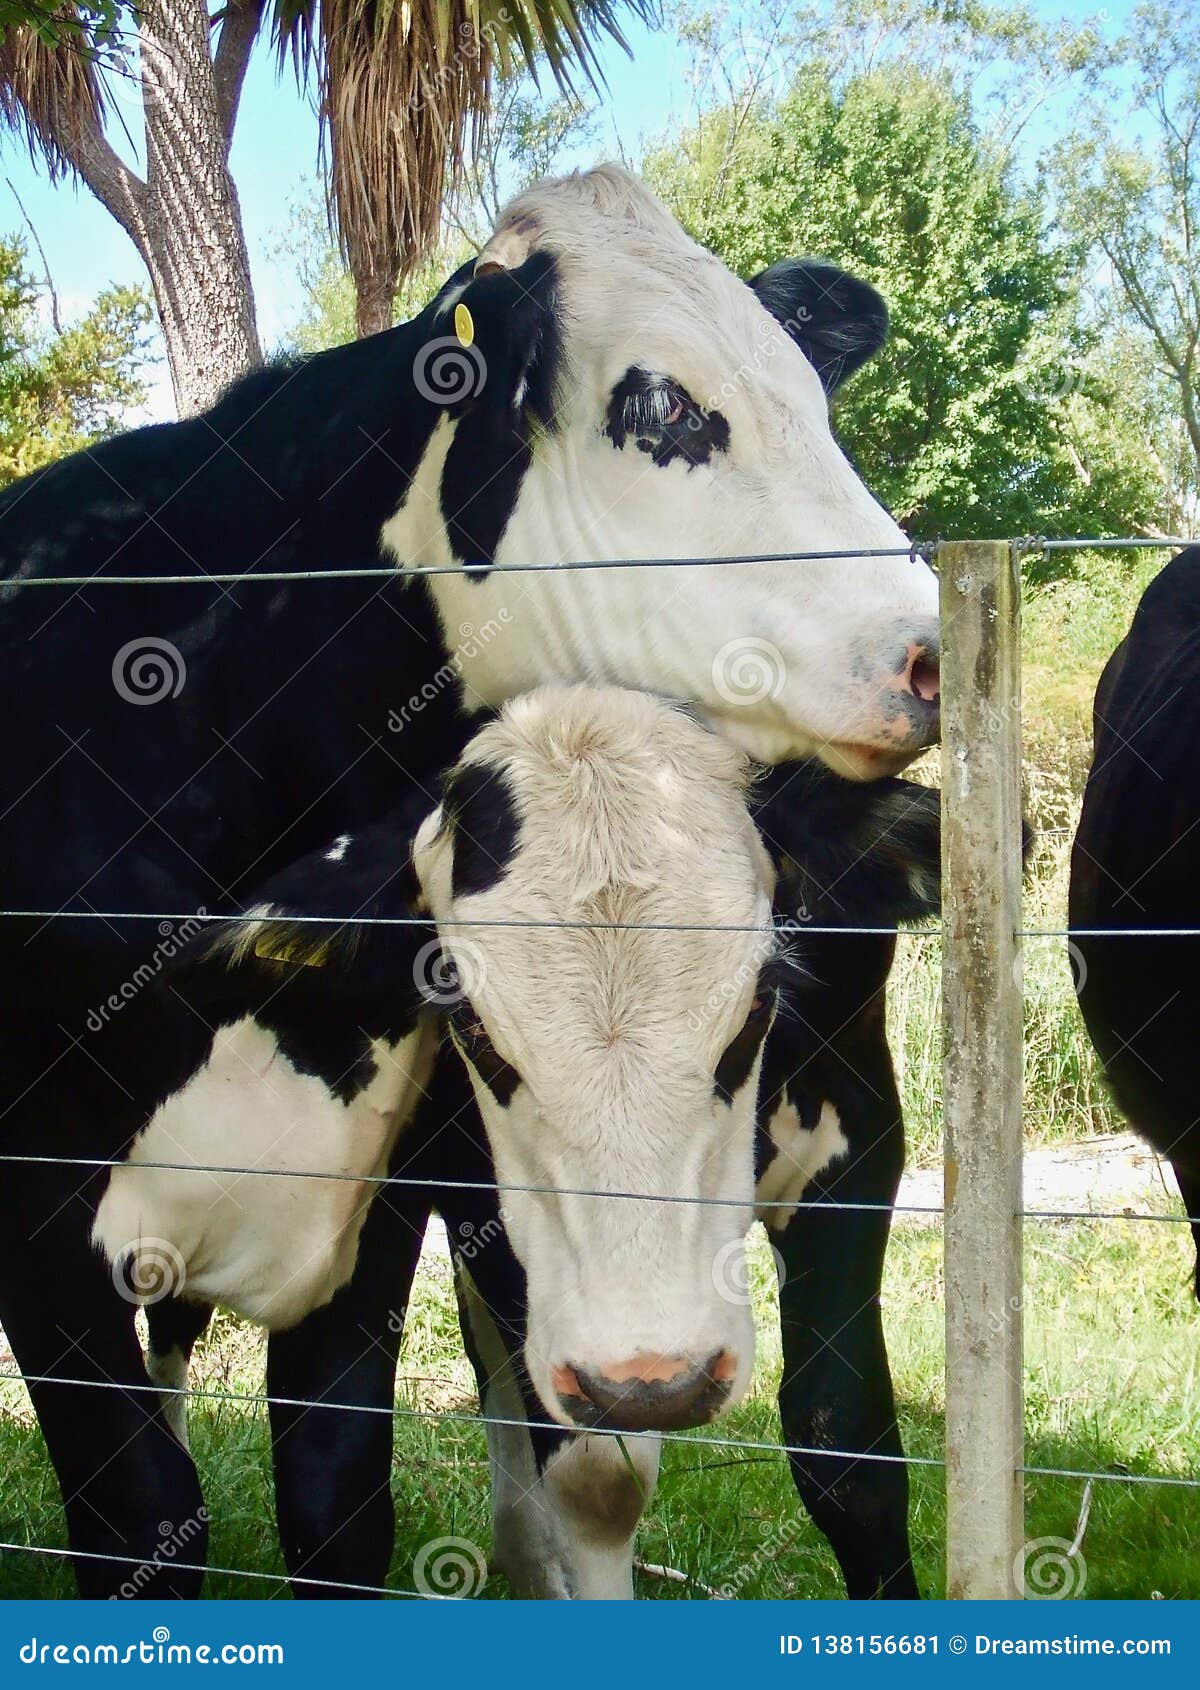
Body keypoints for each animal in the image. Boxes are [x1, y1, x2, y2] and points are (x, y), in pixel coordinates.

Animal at [0, 163, 939, 1597]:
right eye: (663, 407)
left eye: (813, 397)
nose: (929, 648)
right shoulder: (42, 1234)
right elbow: (145, 1522)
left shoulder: (843, 1145)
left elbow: (841, 1452)